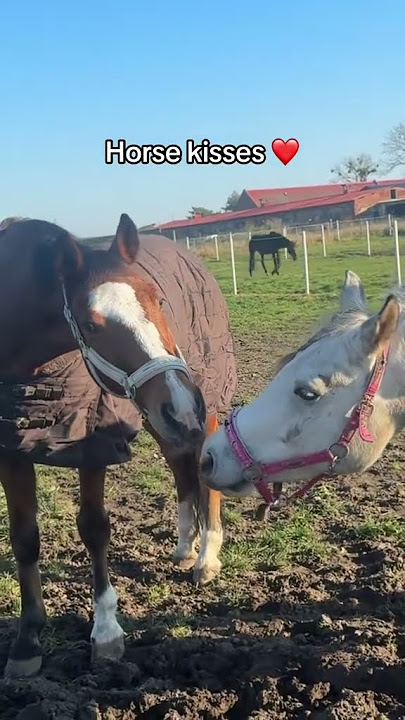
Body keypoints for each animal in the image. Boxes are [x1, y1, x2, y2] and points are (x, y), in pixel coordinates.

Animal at [0, 214, 237, 678]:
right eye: (90, 325)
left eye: (158, 300)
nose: (184, 402)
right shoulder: (9, 448)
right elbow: (24, 539)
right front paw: (27, 638)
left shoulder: (95, 443)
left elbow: (94, 528)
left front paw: (107, 631)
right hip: (161, 419)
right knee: (181, 470)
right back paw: (185, 548)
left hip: (200, 404)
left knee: (205, 475)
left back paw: (206, 557)